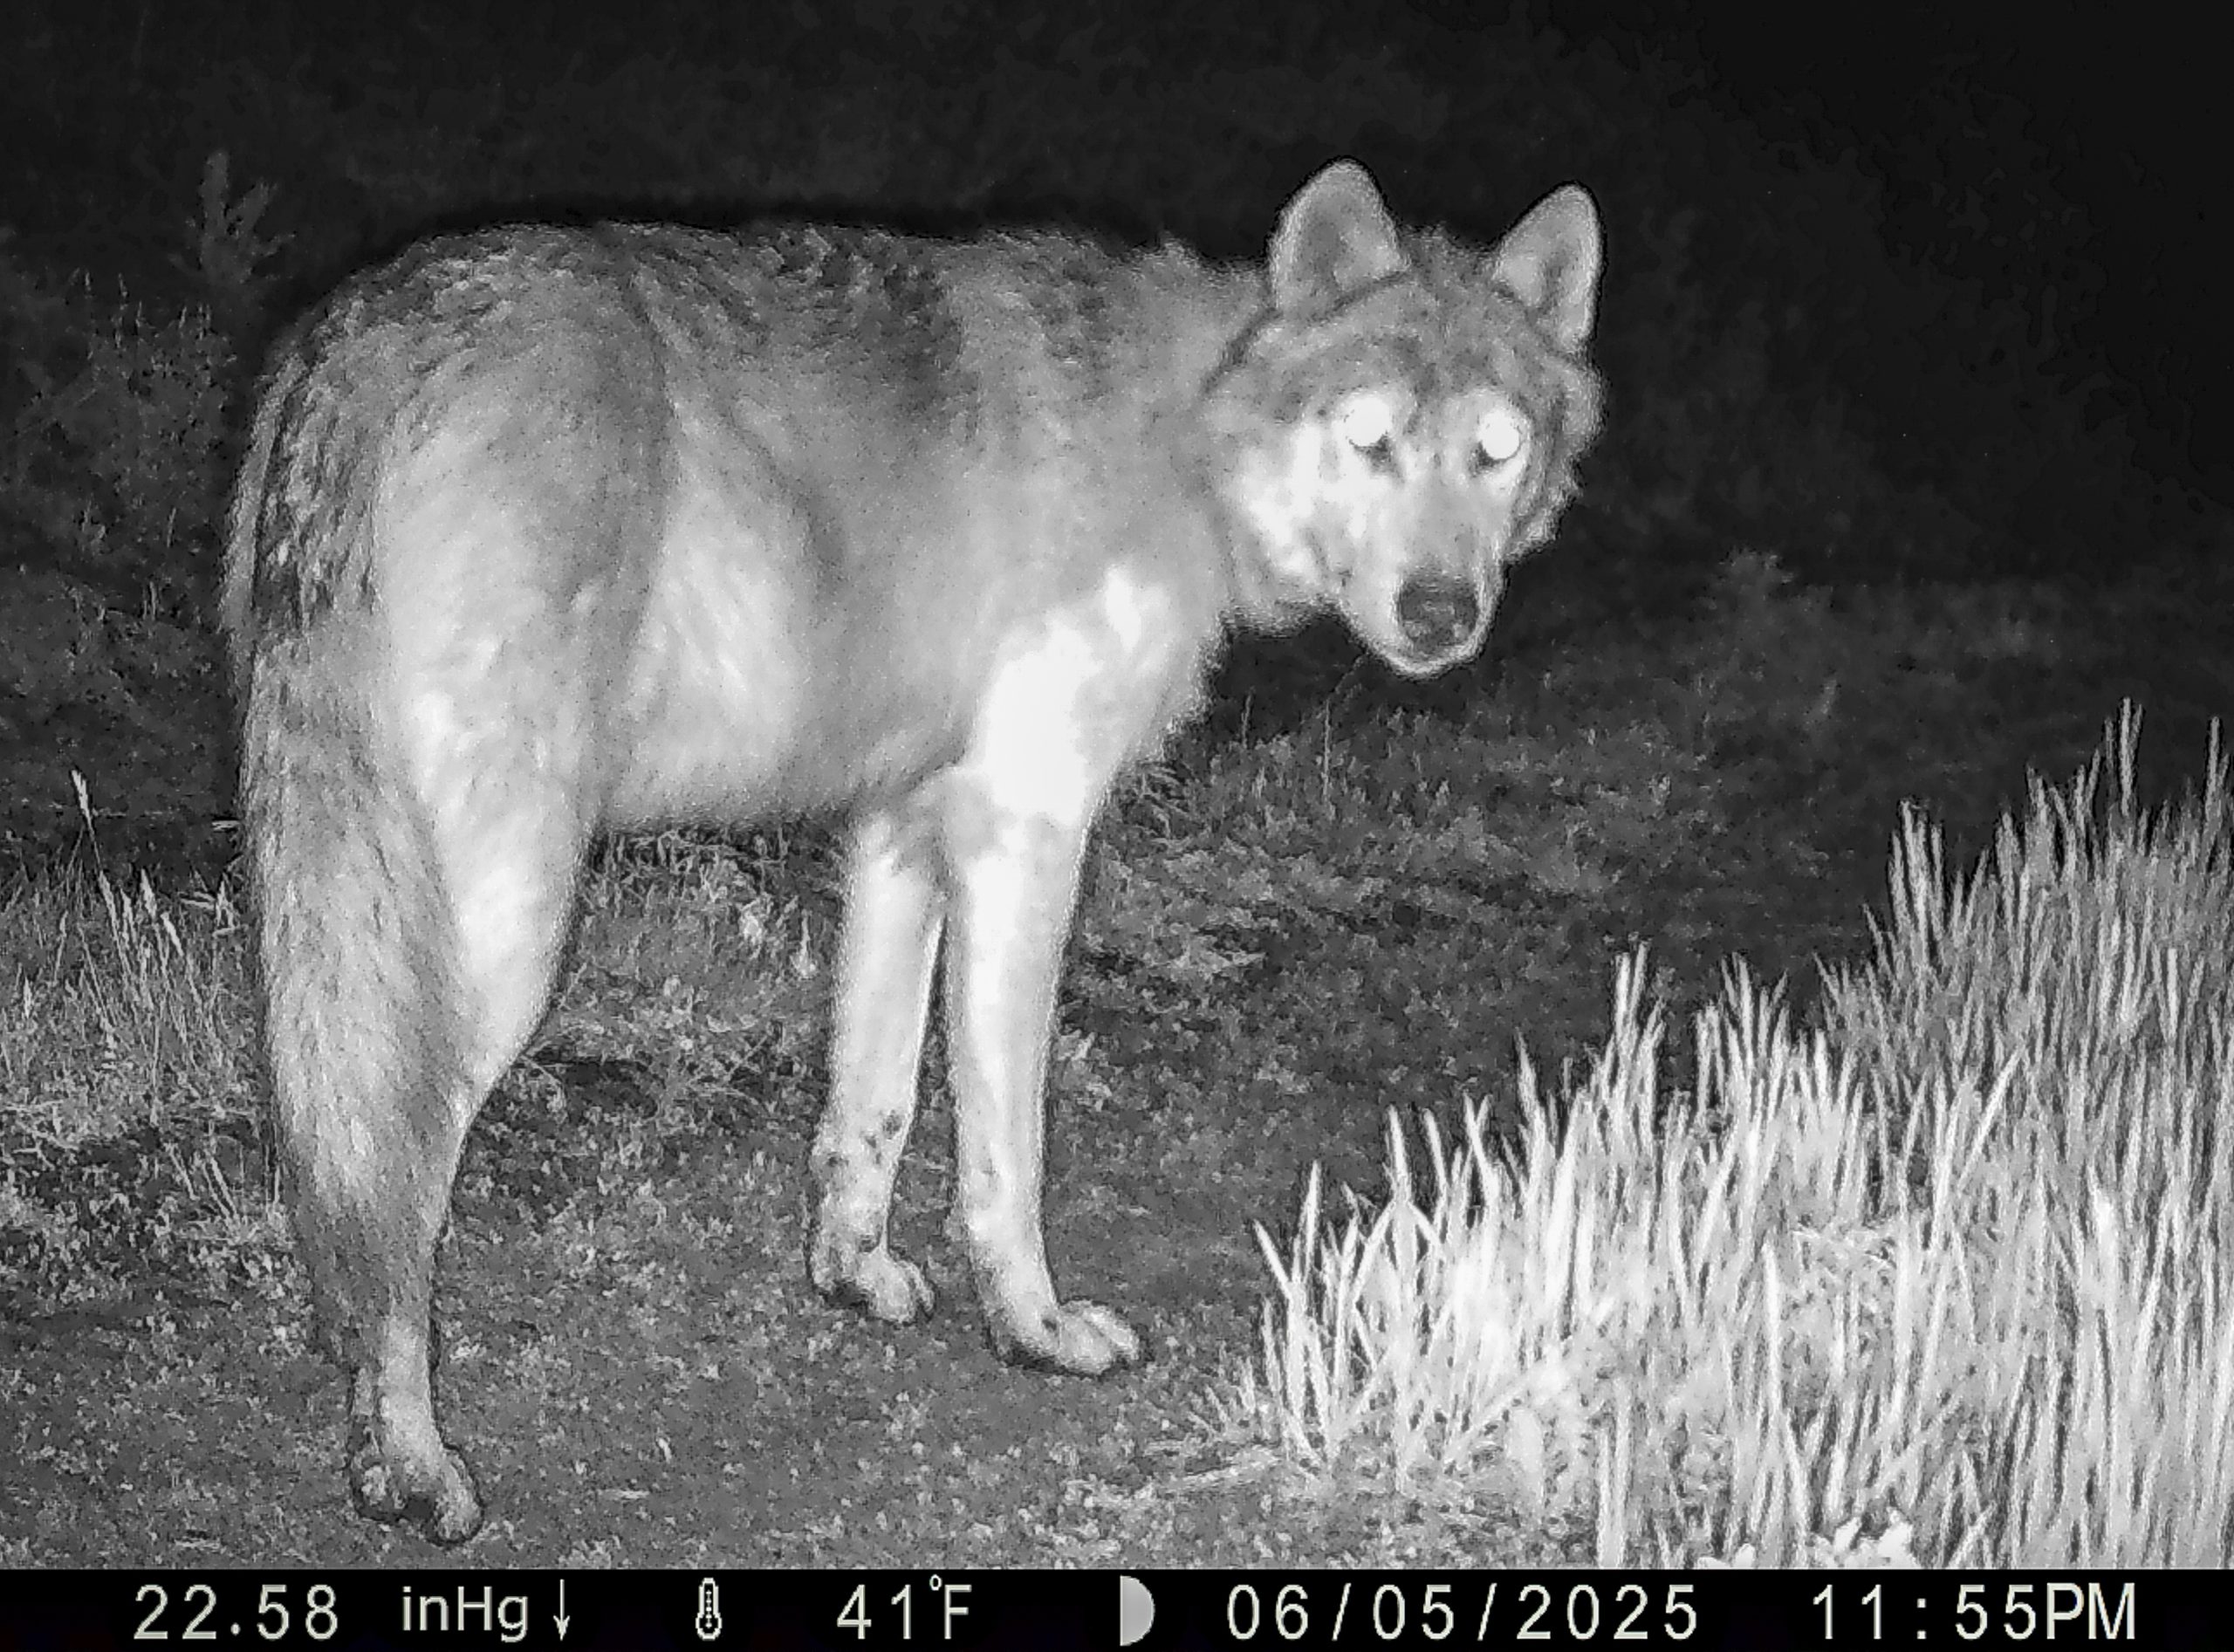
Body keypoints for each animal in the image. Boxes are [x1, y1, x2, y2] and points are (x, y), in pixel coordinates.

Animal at [222, 159, 1603, 1542]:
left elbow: (870, 1105)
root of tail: (352, 346)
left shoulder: (897, 833)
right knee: (392, 1195)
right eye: (1370, 437)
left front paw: (857, 1275)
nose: (1442, 612)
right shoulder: (1024, 832)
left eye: (1498, 450)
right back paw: (412, 1466)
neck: (1189, 437)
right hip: (494, 947)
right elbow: (1007, 1148)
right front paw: (1037, 1331)